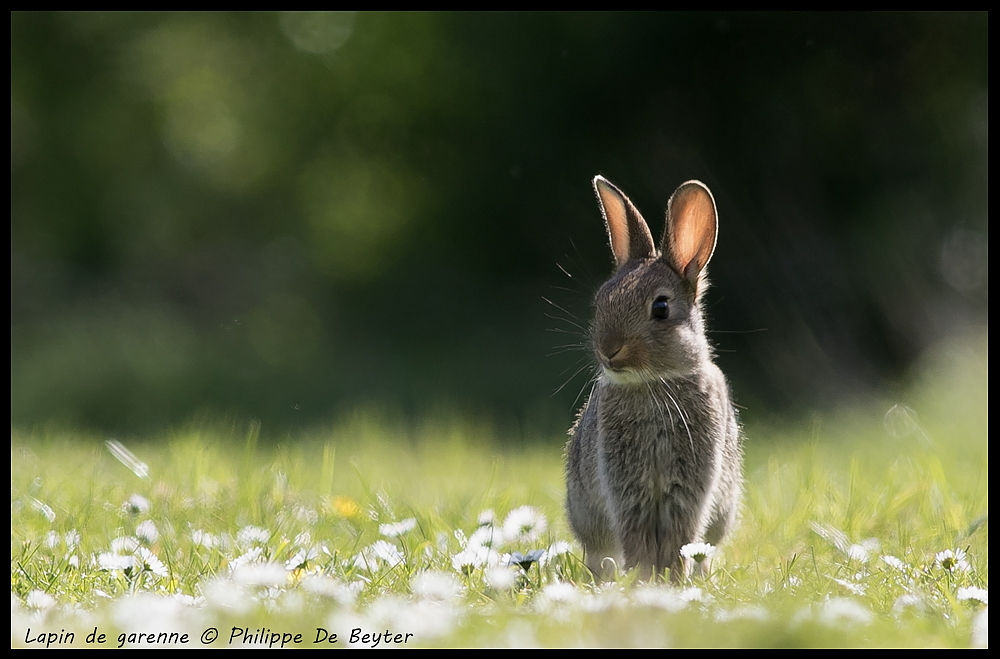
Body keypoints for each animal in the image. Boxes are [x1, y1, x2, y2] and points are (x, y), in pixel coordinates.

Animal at [565, 175, 743, 582]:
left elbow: (679, 538)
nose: (609, 350)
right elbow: (639, 539)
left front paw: (668, 580)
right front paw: (645, 579)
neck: (655, 384)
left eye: (660, 308)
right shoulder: (628, 490)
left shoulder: (688, 490)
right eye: (600, 302)